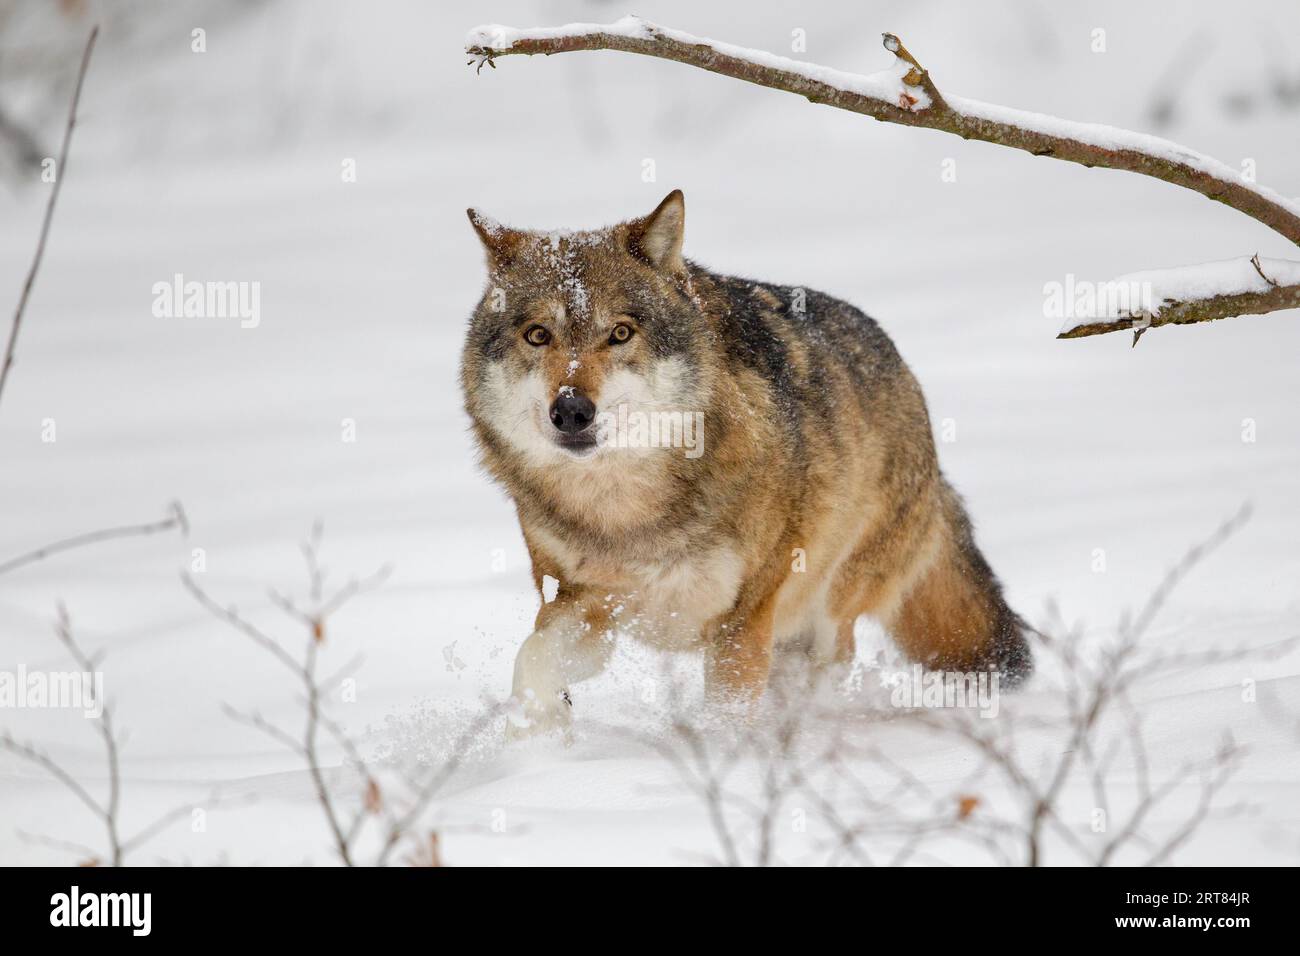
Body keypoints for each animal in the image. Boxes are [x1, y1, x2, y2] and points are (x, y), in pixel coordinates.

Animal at [461, 190, 1031, 736]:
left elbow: (727, 715)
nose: (571, 411)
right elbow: (532, 660)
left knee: (826, 666)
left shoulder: (743, 619)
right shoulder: (583, 606)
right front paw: (537, 737)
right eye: (538, 335)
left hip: (825, 609)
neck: (627, 511)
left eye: (620, 333)